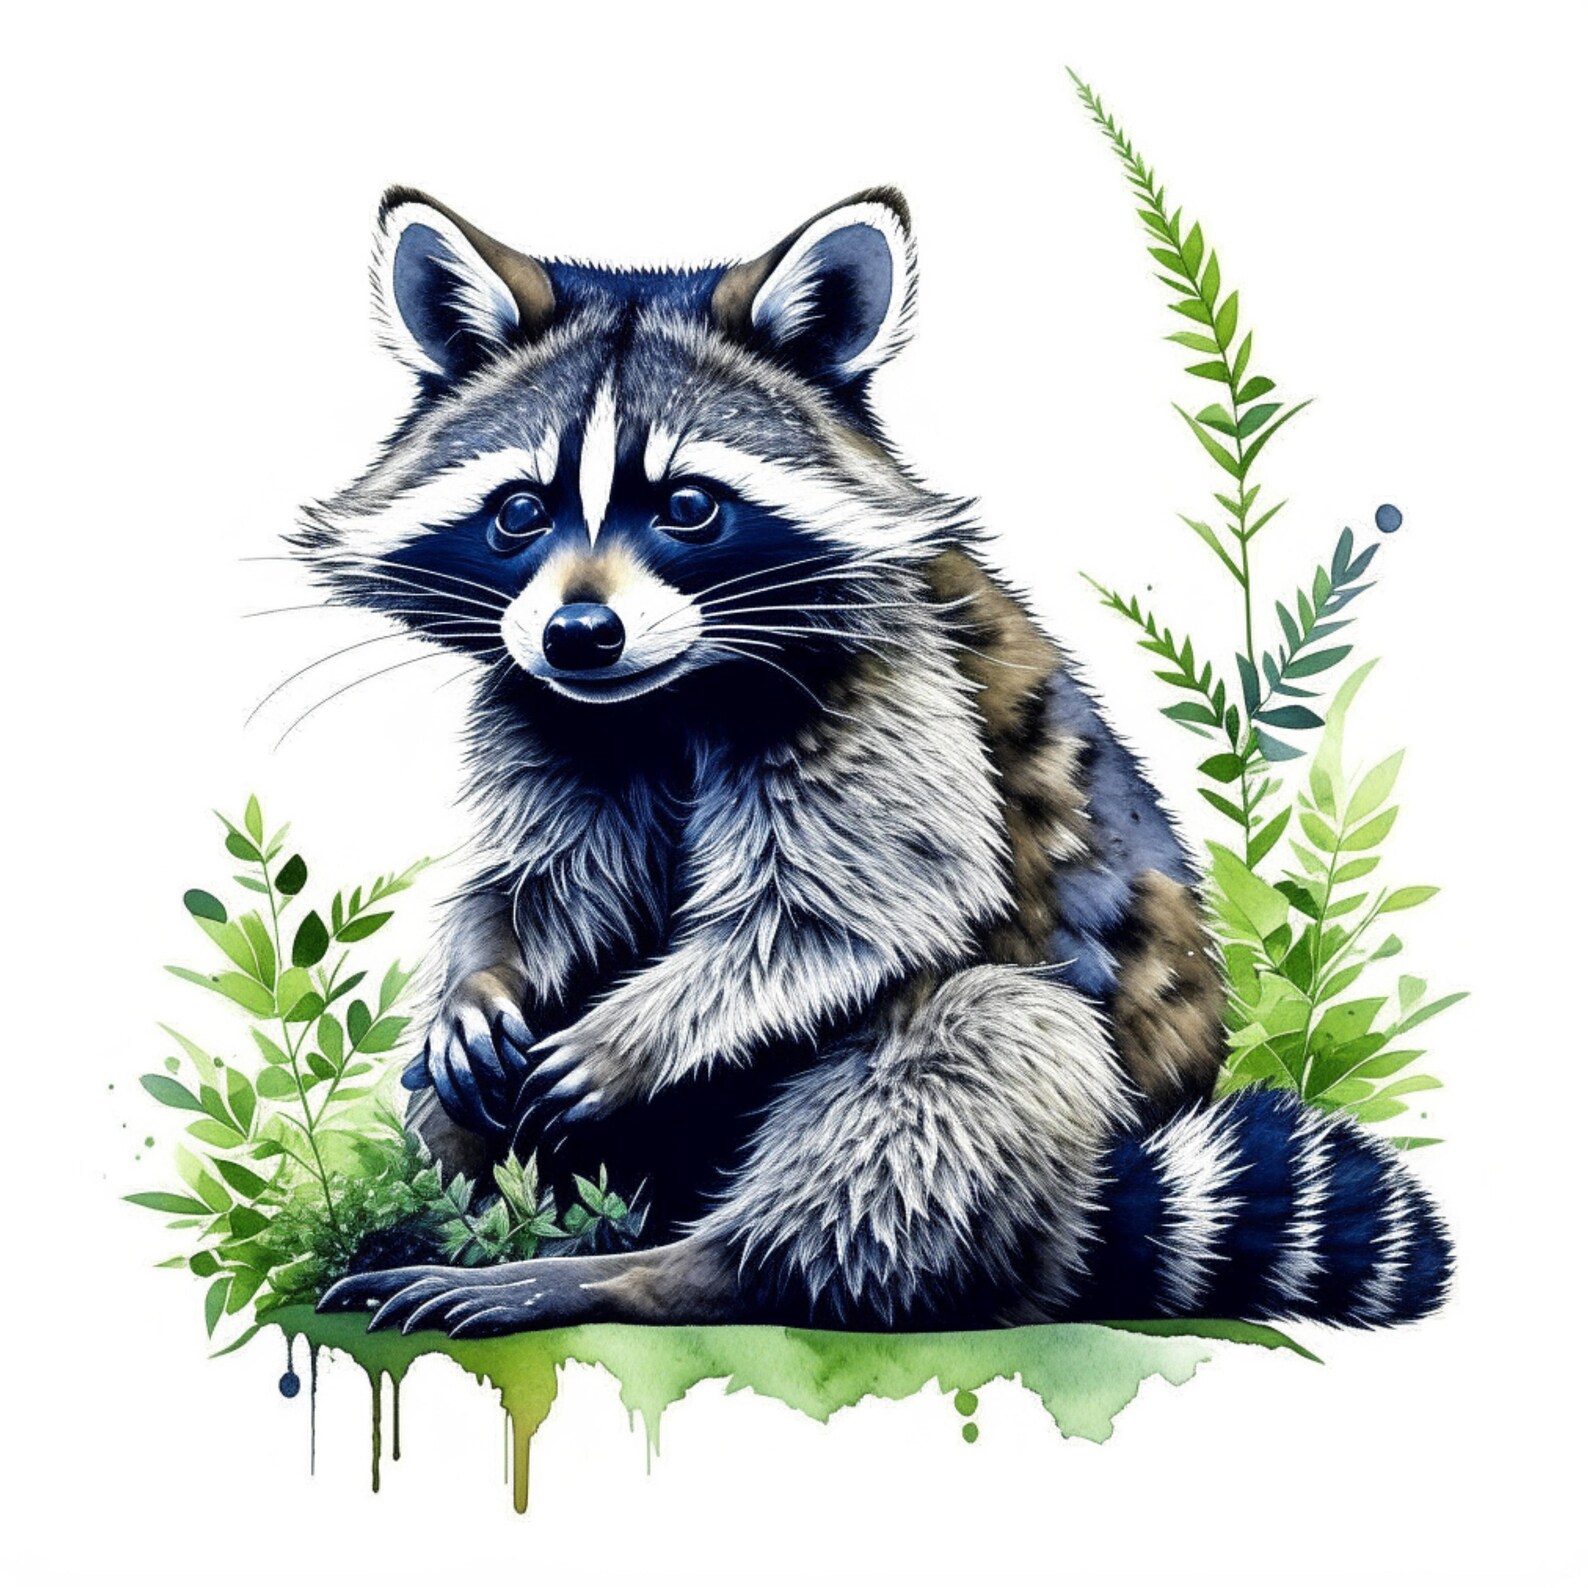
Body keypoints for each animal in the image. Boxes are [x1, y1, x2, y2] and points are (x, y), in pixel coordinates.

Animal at [313, 188, 1450, 1336]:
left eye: (689, 506)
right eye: (519, 512)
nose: (579, 634)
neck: (660, 695)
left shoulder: (896, 682)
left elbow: (861, 906)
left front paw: (641, 1033)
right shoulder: (548, 711)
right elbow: (542, 884)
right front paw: (482, 971)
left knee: (976, 1054)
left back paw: (673, 1267)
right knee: (446, 1082)